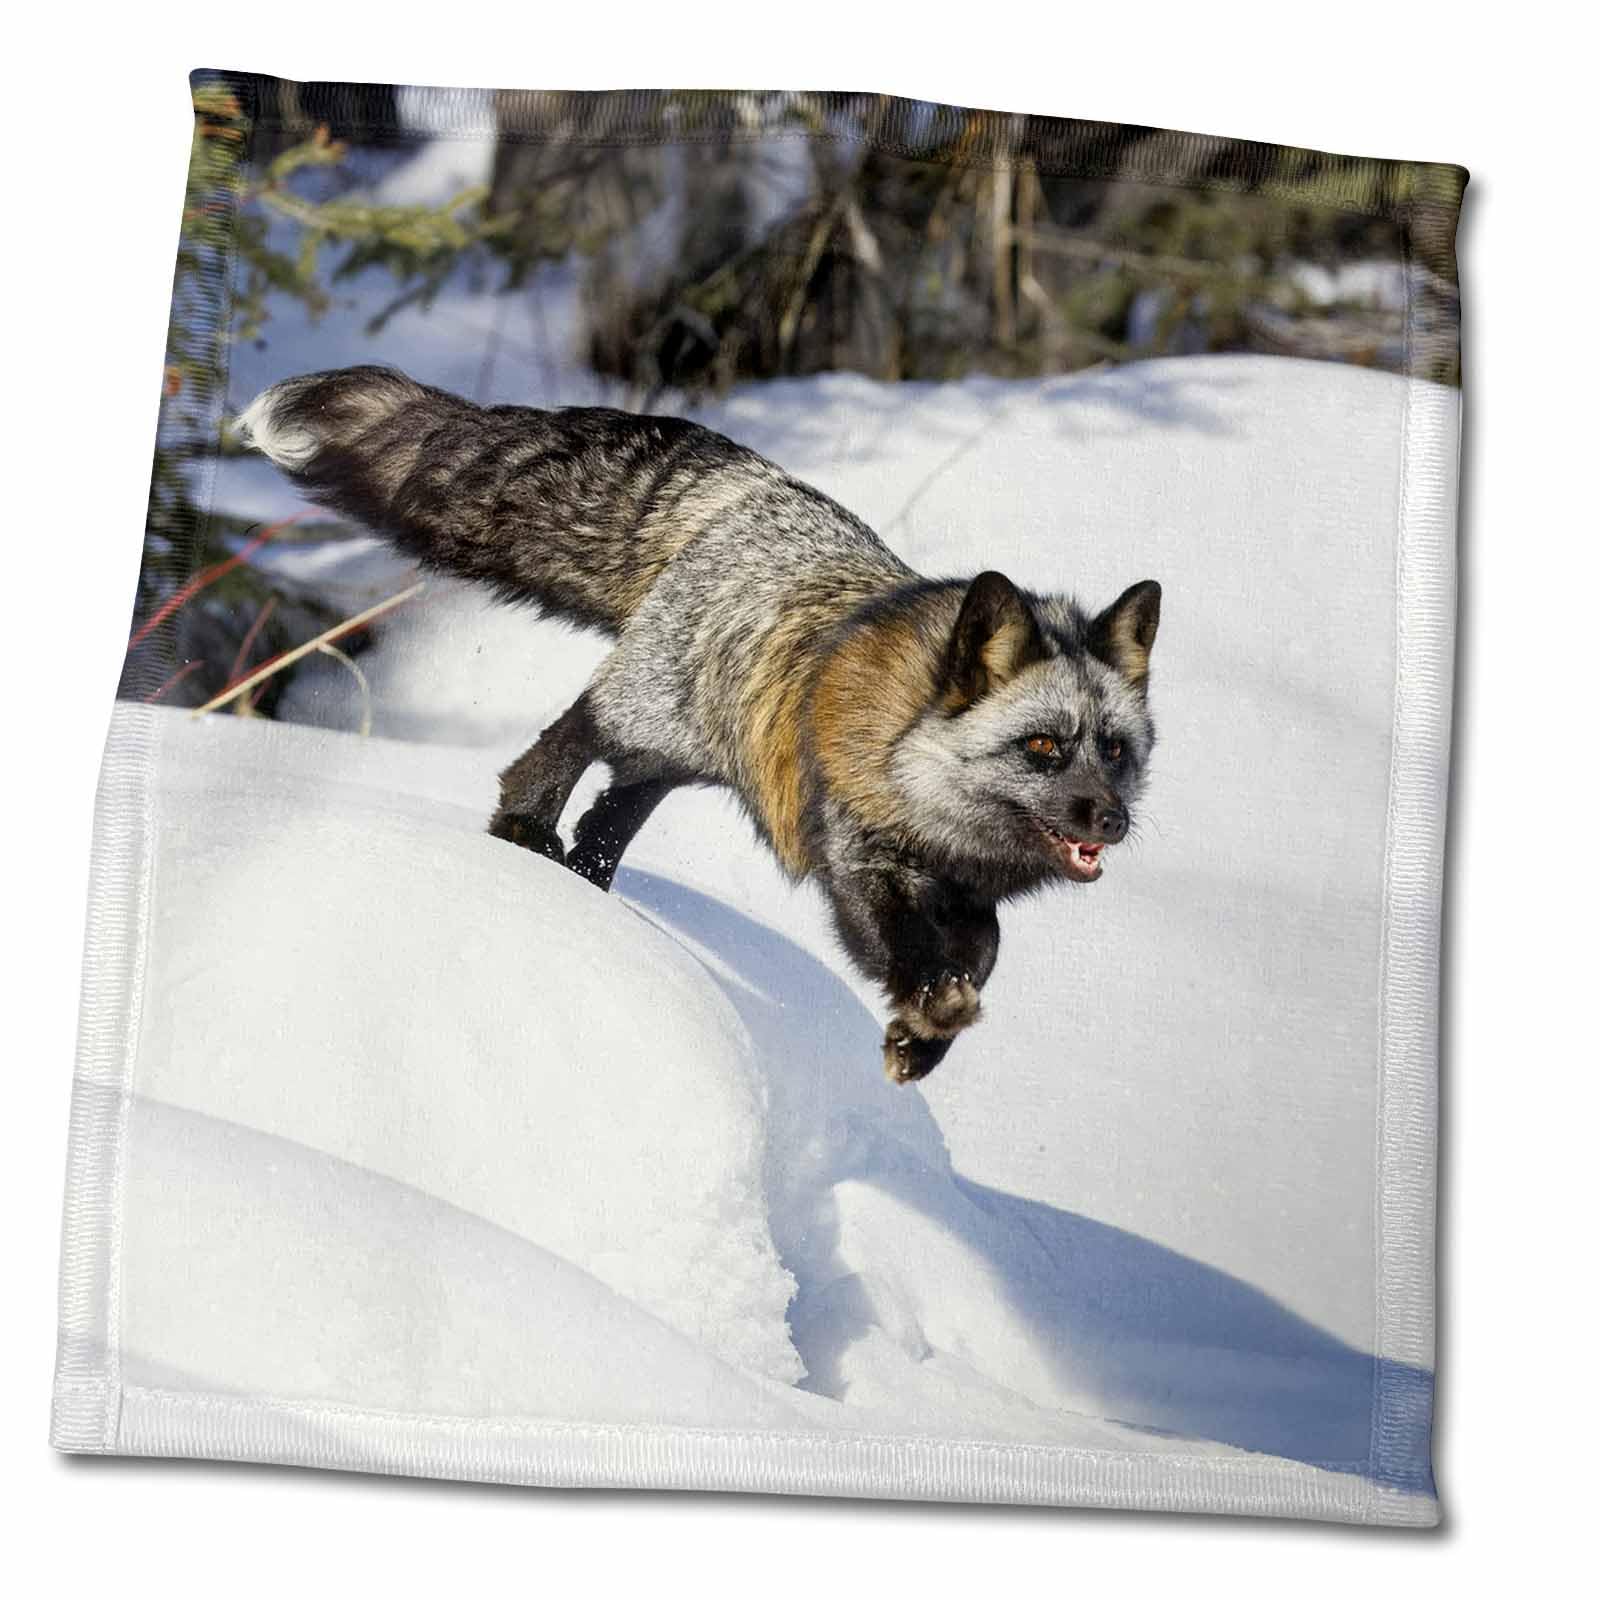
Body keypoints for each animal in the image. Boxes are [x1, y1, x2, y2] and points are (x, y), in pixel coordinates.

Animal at [239, 366, 1162, 1083]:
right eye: (1043, 748)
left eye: (1115, 750)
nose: (1111, 821)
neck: (921, 775)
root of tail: (754, 484)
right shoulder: (856, 855)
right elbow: (908, 950)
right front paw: (930, 1013)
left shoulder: (970, 897)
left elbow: (985, 953)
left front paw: (920, 1041)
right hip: (654, 712)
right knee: (571, 736)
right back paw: (525, 827)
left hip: (699, 752)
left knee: (613, 813)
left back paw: (586, 885)